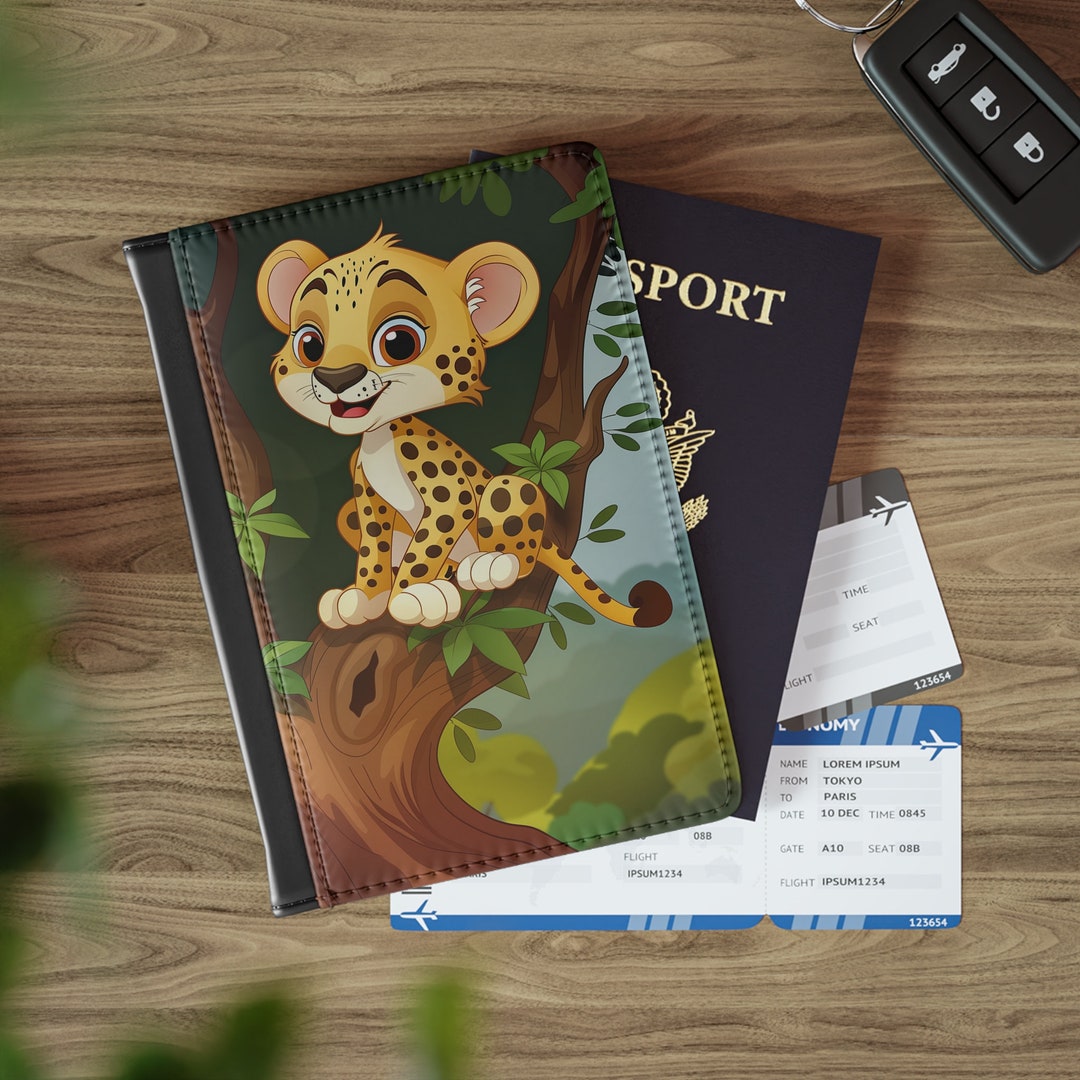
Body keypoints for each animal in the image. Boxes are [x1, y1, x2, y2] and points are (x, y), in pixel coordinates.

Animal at [256, 228, 671, 632]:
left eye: (398, 342)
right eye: (309, 344)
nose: (336, 377)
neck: (382, 438)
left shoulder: (451, 499)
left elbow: (425, 547)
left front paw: (411, 594)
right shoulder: (367, 499)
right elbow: (372, 550)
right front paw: (365, 596)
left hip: (509, 490)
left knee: (522, 545)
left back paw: (491, 564)